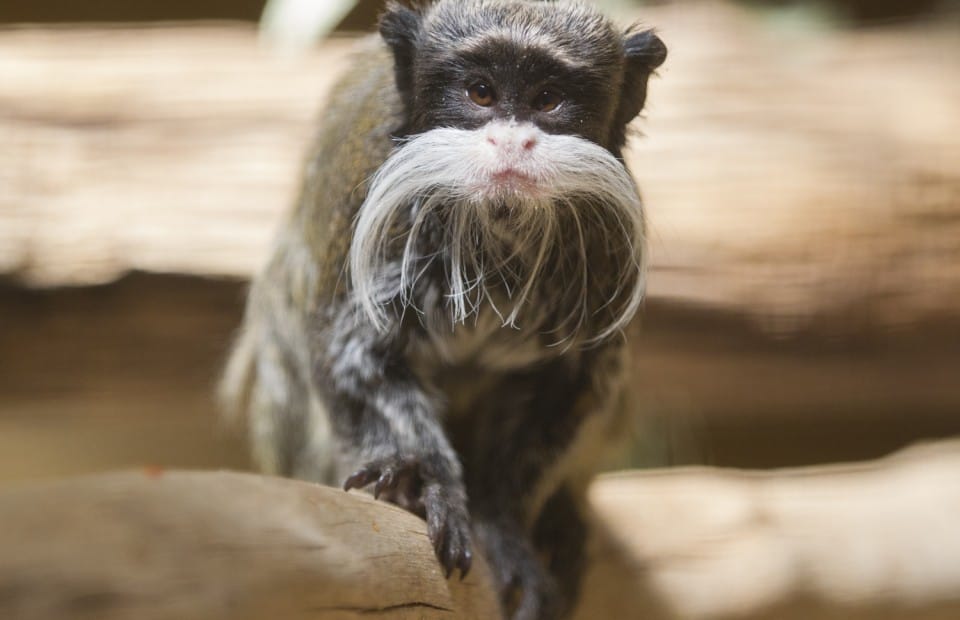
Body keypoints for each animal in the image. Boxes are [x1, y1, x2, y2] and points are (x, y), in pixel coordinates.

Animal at [221, 2, 664, 616]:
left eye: (547, 100)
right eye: (480, 93)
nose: (511, 143)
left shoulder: (609, 249)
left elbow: (563, 391)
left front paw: (505, 526)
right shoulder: (368, 209)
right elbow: (355, 359)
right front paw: (422, 482)